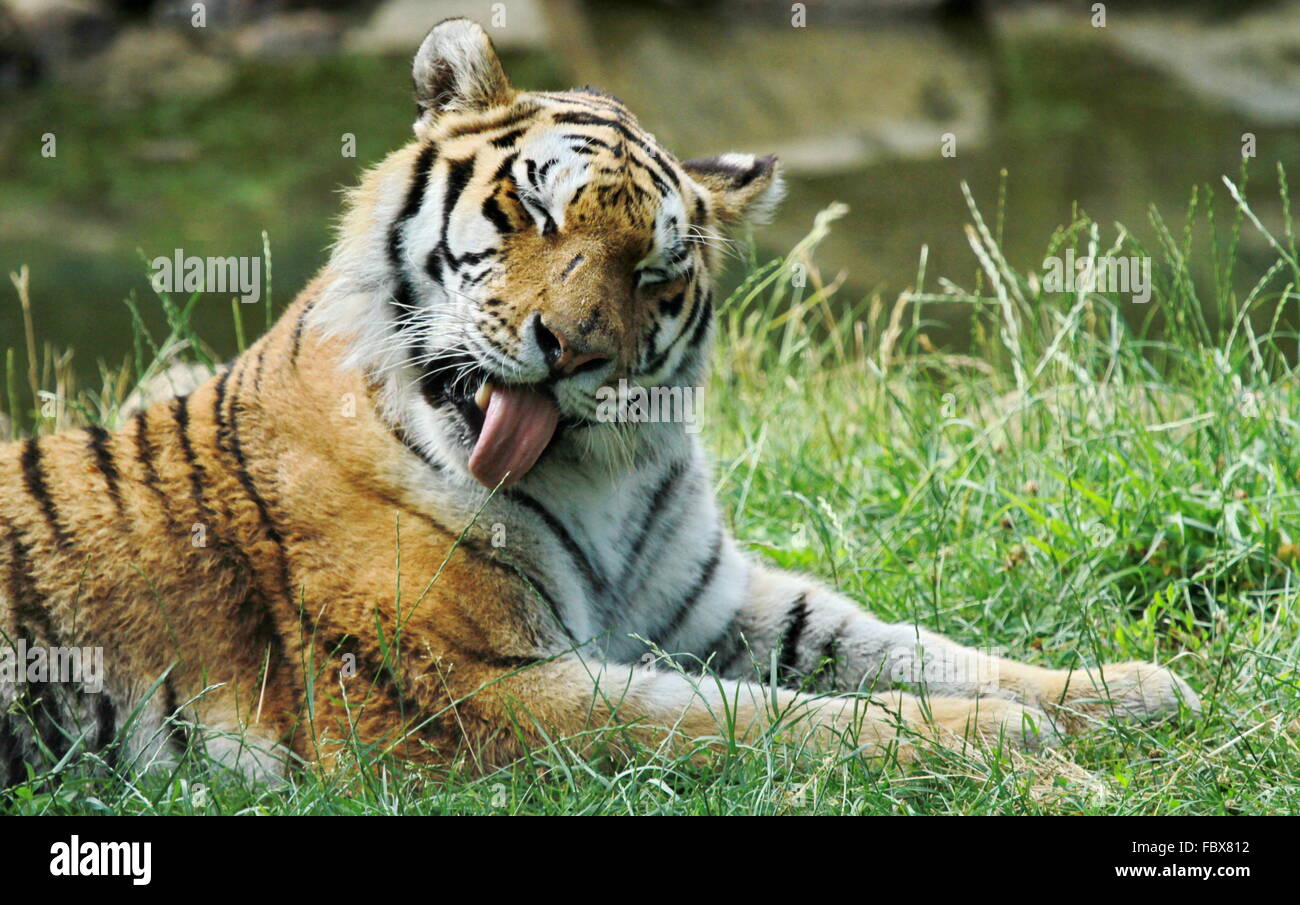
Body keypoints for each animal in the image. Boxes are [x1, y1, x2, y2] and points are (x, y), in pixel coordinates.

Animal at [0, 18, 1198, 786]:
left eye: (653, 271)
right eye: (532, 211)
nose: (570, 349)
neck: (597, 475)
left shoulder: (708, 602)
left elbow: (890, 639)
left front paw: (1122, 690)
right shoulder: (464, 689)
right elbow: (749, 719)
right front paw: (994, 739)